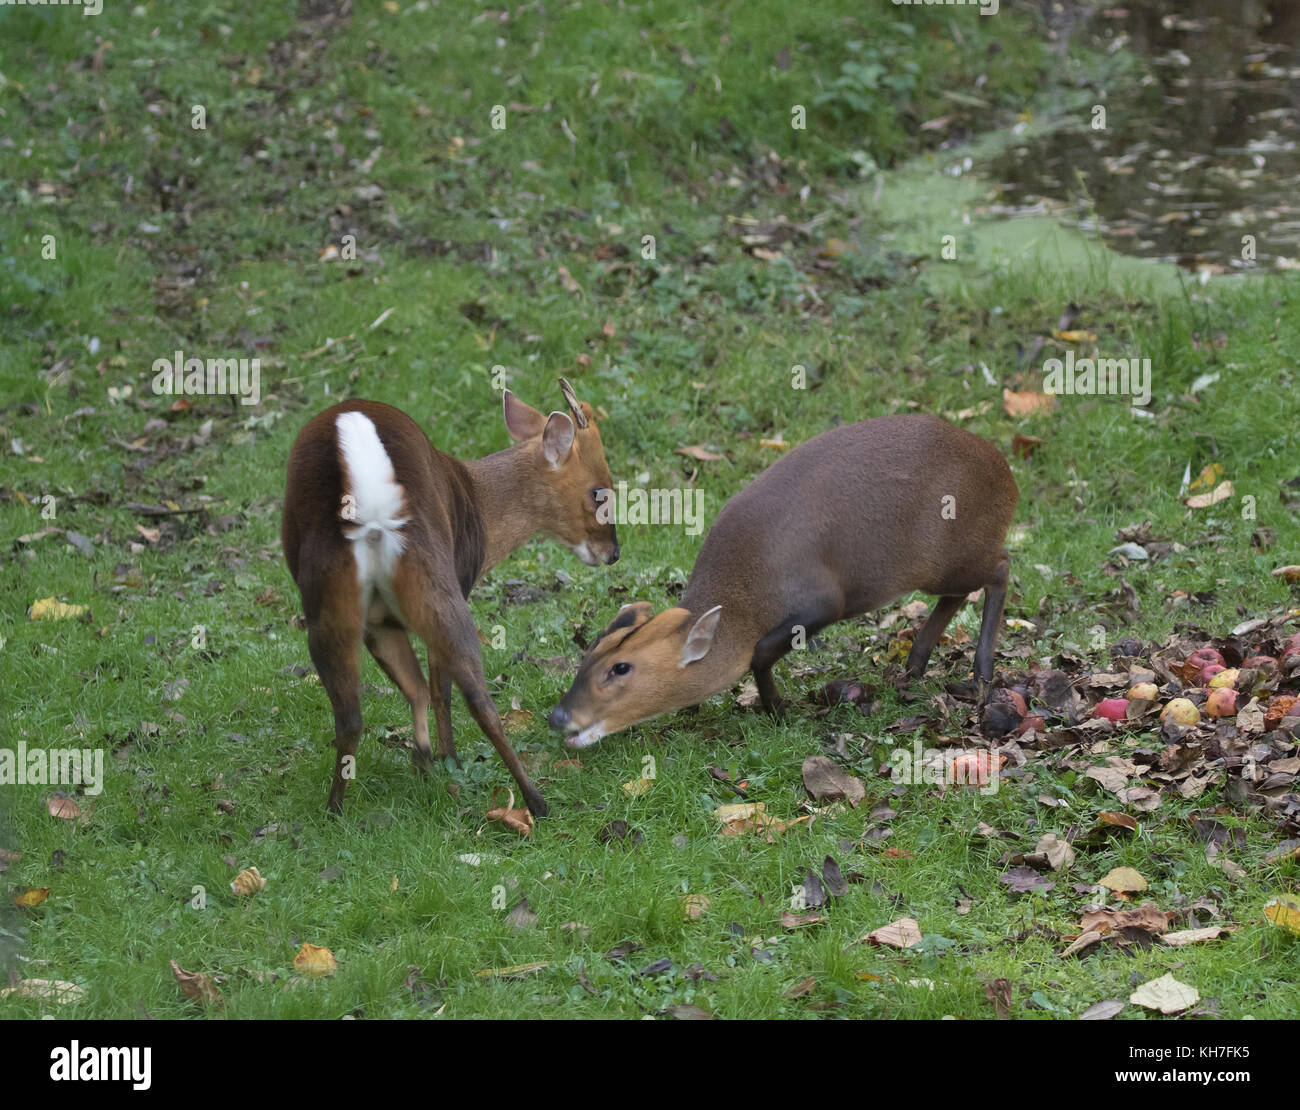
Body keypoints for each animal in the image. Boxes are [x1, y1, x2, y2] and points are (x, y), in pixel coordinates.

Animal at [282, 379, 617, 818]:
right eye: (600, 492)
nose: (613, 553)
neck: (478, 501)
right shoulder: (457, 583)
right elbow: (440, 687)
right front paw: (447, 759)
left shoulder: (381, 621)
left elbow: (416, 687)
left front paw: (425, 760)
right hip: (438, 589)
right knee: (480, 701)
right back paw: (535, 801)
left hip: (330, 604)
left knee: (351, 716)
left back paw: (335, 810)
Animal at [547, 414, 1018, 749]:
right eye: (588, 655)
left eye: (620, 668)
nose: (558, 716)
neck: (745, 593)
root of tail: (1007, 476)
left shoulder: (824, 600)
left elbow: (758, 652)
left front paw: (778, 711)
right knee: (959, 592)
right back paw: (914, 664)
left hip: (950, 555)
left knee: (1001, 567)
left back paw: (981, 673)